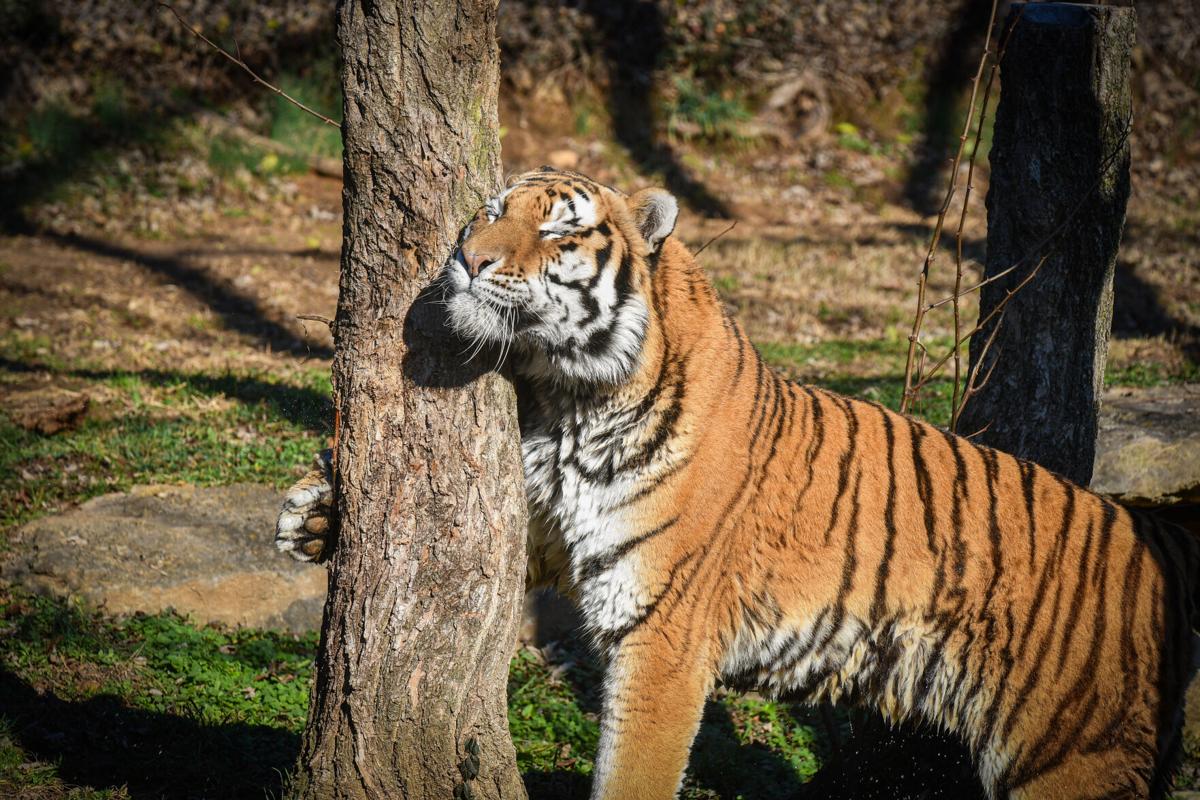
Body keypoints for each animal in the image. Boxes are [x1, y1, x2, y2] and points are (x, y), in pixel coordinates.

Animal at [275, 166, 1199, 800]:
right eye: (491, 211)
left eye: (561, 236)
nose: (467, 259)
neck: (567, 398)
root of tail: (1153, 537)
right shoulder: (562, 532)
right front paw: (315, 519)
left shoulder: (664, 634)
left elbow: (633, 774)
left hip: (1069, 757)